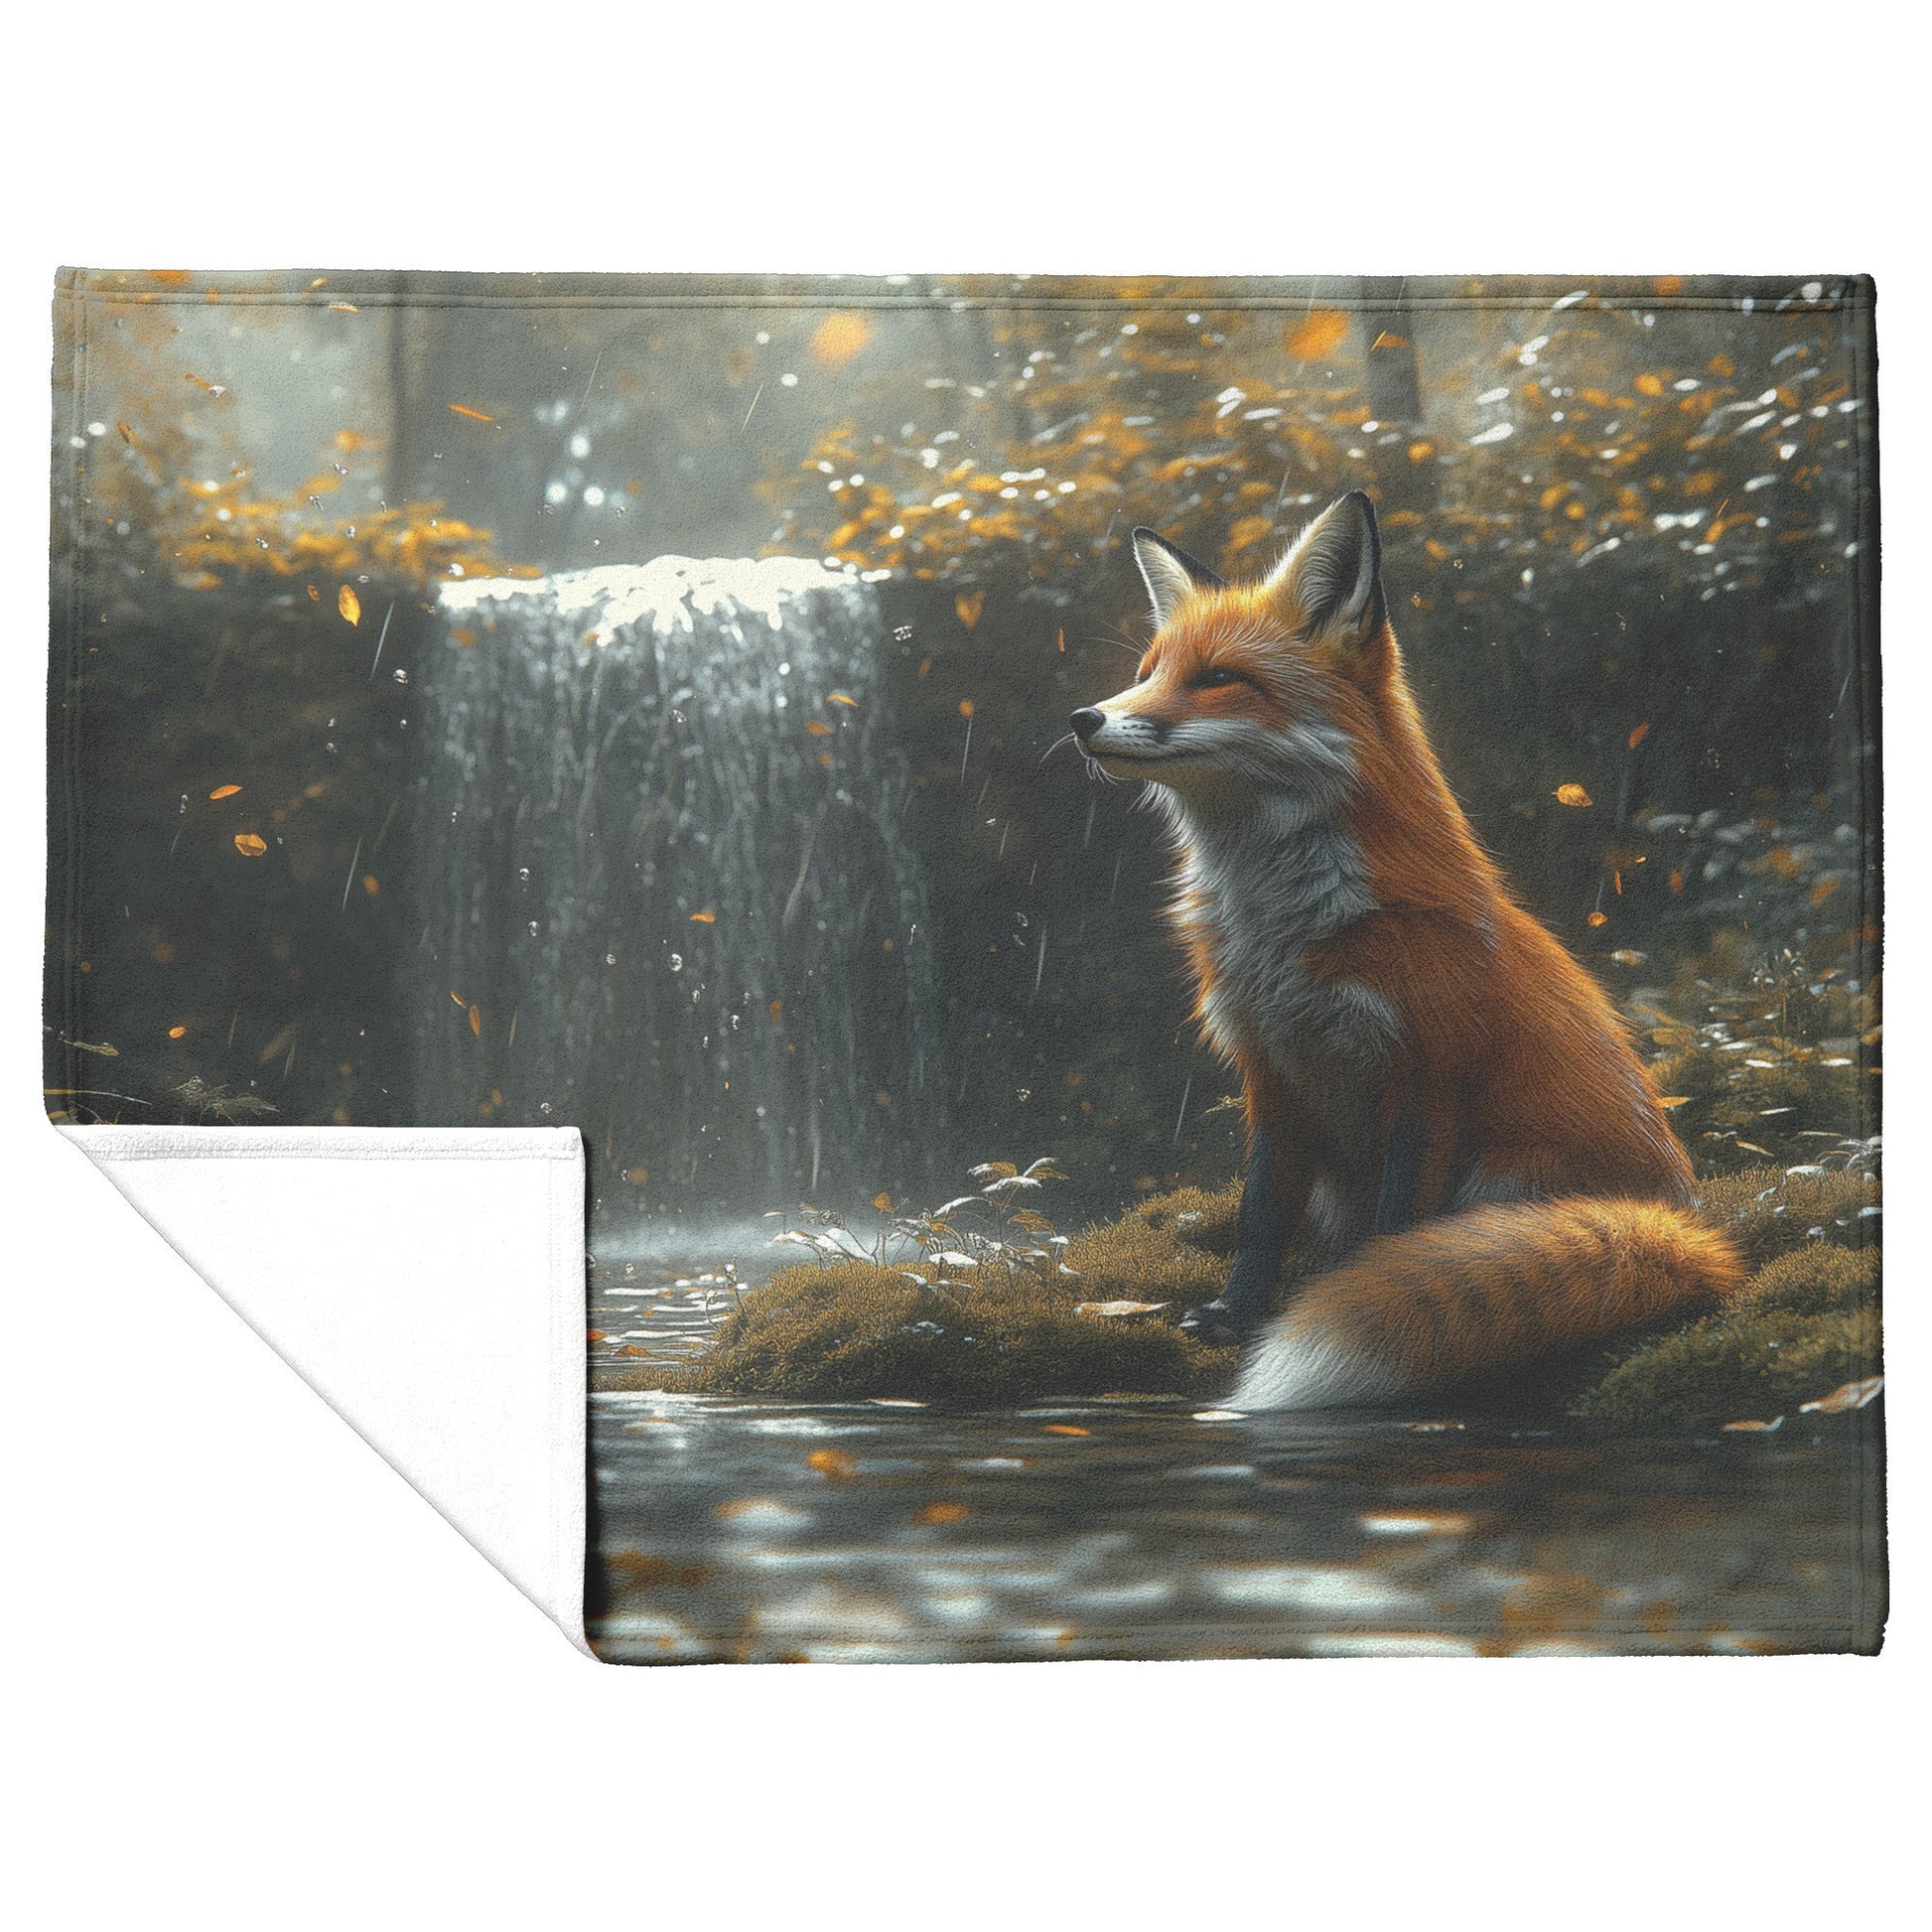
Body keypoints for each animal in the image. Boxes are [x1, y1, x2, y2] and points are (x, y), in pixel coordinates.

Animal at [1070, 491, 1744, 1410]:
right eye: (1149, 669)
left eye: (1216, 678)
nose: (1084, 720)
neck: (1286, 934)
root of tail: (1687, 1222)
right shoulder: (1273, 1071)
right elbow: (1260, 1214)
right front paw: (1237, 1316)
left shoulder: (1425, 1072)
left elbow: (1396, 1234)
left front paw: (1355, 1299)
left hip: (1503, 1171)